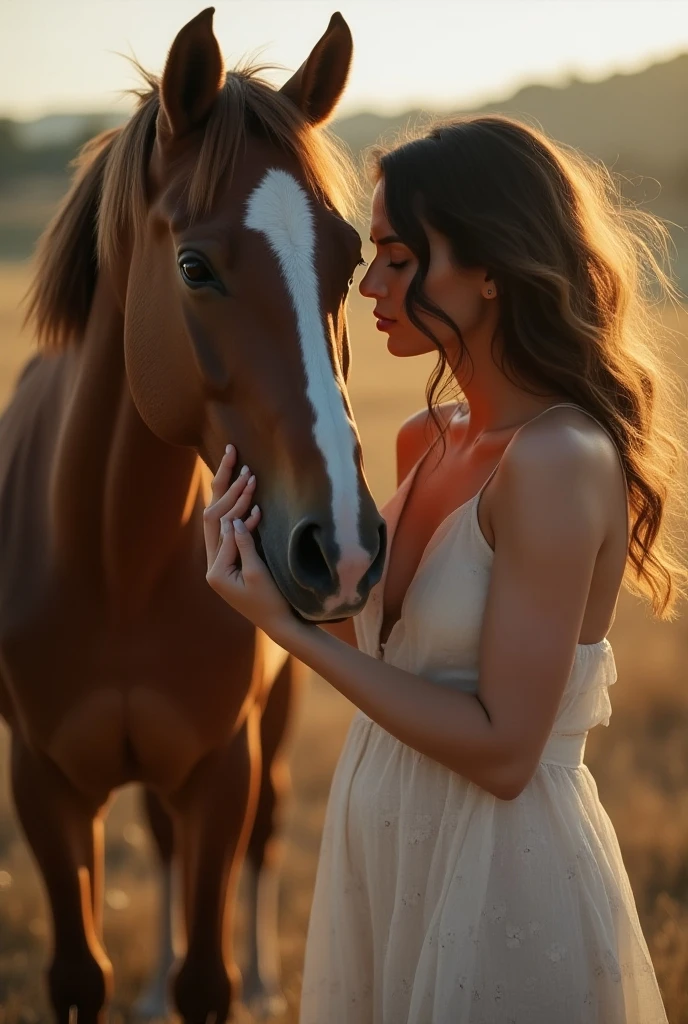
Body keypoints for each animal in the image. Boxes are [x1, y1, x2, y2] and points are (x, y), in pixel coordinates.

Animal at [0, 8, 385, 1022]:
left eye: (351, 262)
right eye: (195, 266)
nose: (344, 545)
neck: (113, 562)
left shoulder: (223, 771)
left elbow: (207, 978)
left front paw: (234, 979)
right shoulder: (45, 786)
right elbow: (79, 975)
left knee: (269, 832)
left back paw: (266, 979)